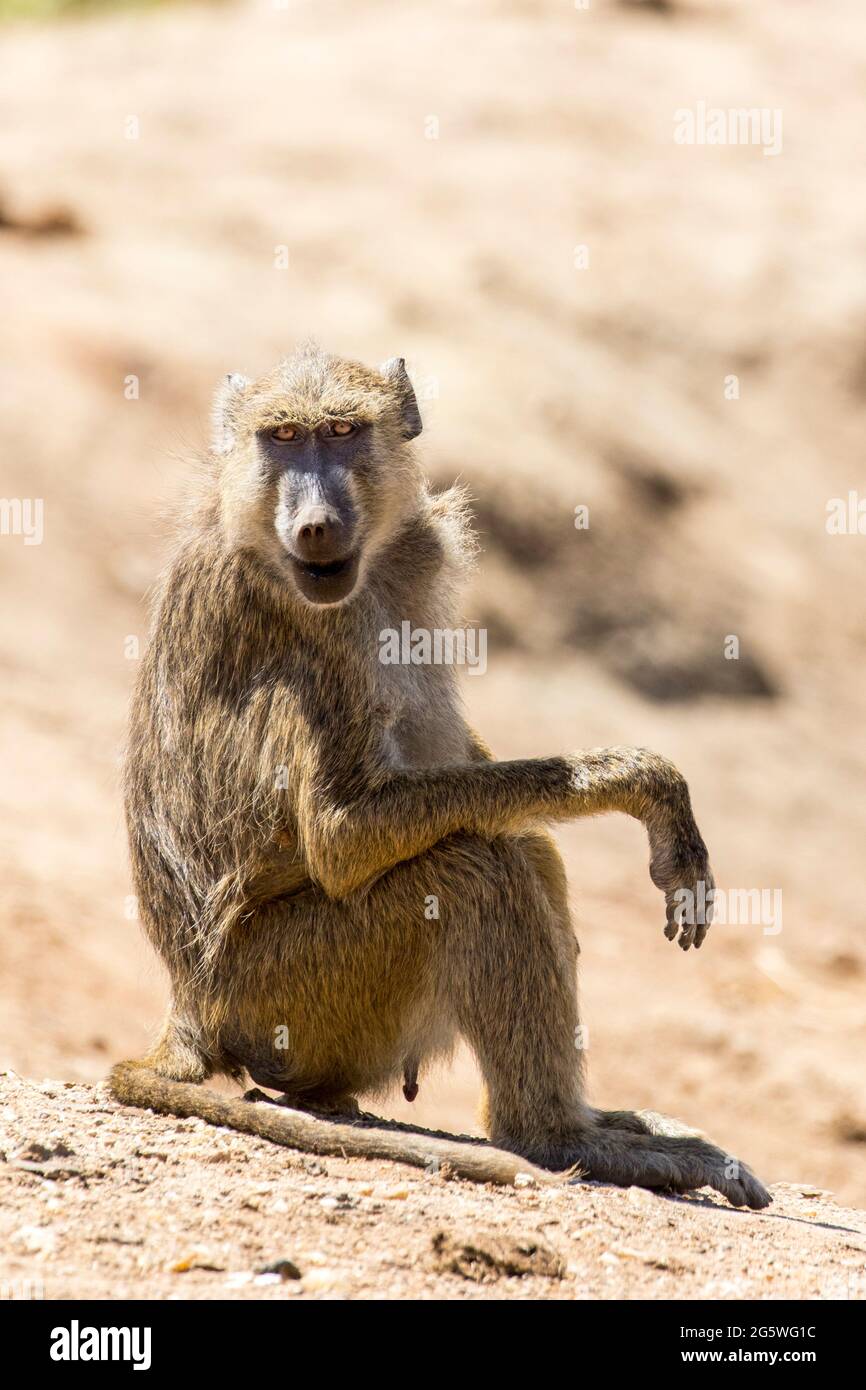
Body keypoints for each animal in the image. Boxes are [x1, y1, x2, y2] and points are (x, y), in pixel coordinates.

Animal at [109, 343, 770, 1209]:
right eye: (282, 436)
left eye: (342, 432)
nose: (316, 524)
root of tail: (189, 1011)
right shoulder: (310, 639)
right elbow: (342, 837)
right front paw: (640, 783)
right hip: (284, 992)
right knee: (473, 871)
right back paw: (556, 1137)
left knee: (520, 845)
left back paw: (597, 1123)